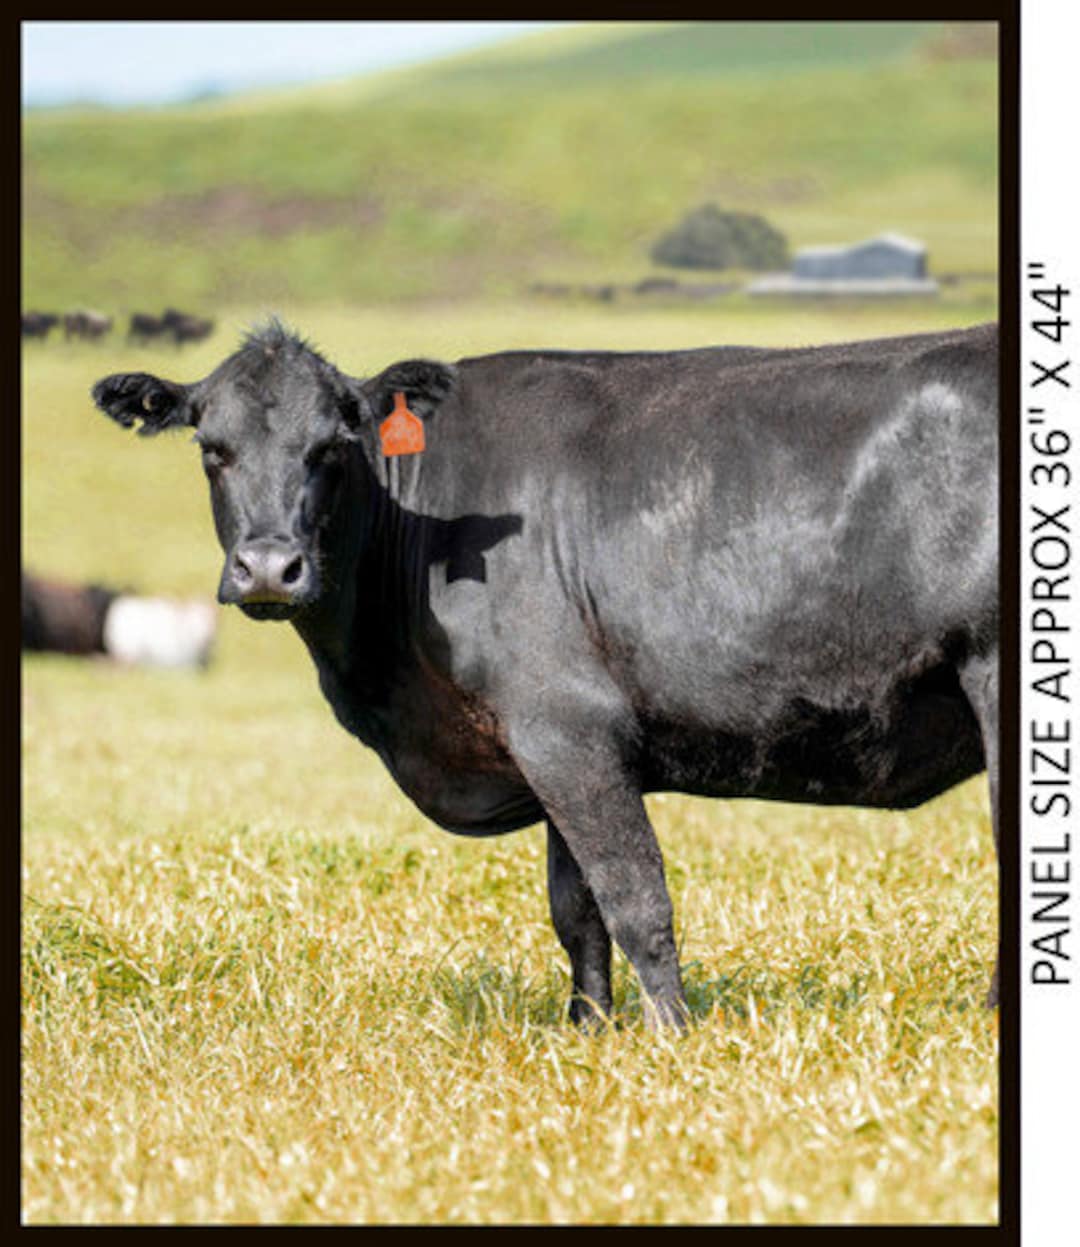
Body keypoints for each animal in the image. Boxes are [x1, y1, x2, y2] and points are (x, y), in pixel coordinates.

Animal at [92, 320, 999, 1026]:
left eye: (331, 449)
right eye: (212, 450)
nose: (270, 569)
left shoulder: (566, 724)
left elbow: (636, 898)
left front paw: (673, 1037)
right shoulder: (548, 743)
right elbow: (577, 911)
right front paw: (589, 1031)